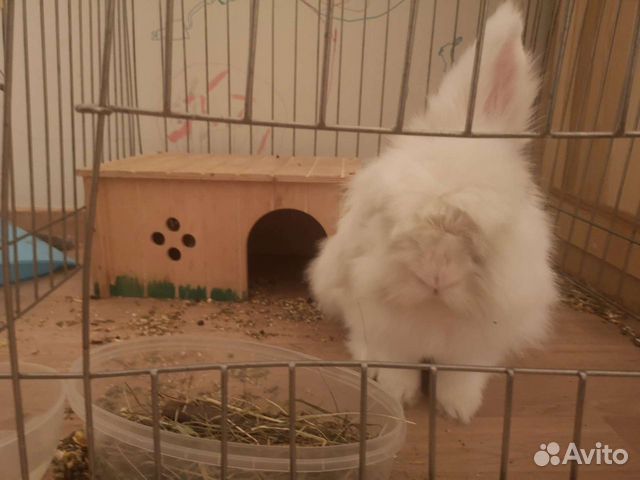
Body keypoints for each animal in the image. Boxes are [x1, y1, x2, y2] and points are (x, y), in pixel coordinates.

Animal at [307, 2, 557, 423]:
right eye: (392, 218)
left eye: (483, 228)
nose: (435, 275)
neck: (435, 311)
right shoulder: (383, 327)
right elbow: (396, 363)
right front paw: (400, 394)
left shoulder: (477, 346)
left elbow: (462, 375)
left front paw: (459, 408)